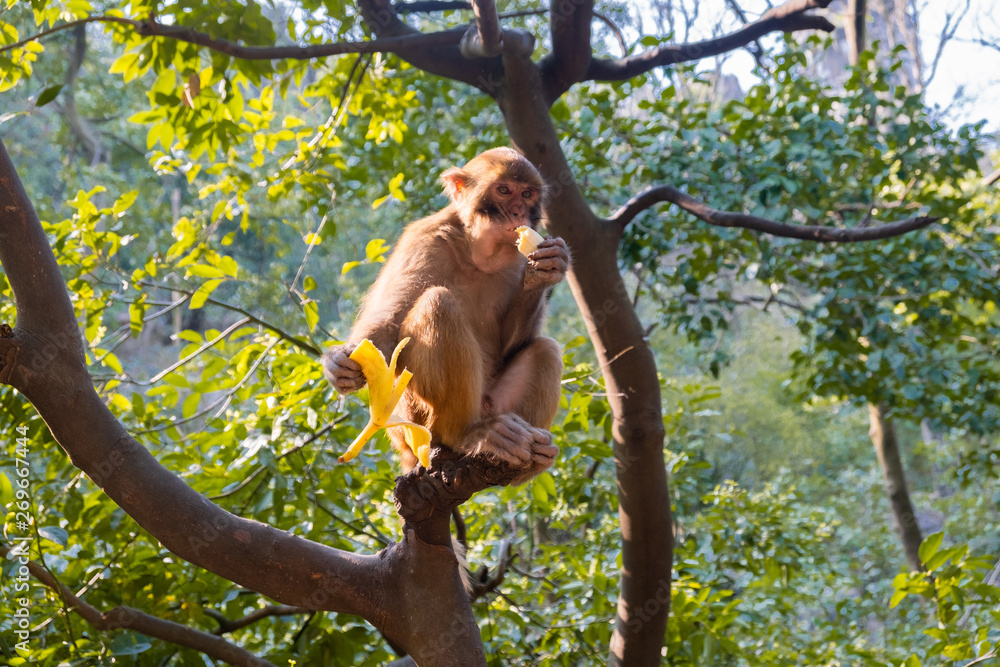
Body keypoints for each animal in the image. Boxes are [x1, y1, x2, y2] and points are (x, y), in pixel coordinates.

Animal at [323, 147, 570, 485]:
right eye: (504, 190)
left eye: (527, 194)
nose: (519, 212)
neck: (479, 253)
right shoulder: (425, 240)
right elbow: (389, 321)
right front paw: (341, 364)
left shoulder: (518, 259)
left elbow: (513, 344)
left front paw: (546, 270)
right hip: (416, 423)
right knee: (438, 303)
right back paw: (467, 435)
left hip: (495, 406)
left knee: (545, 349)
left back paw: (529, 458)